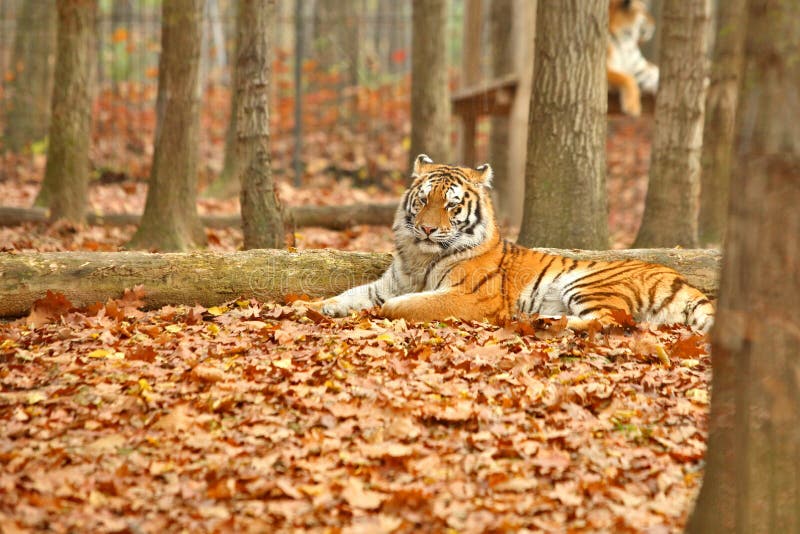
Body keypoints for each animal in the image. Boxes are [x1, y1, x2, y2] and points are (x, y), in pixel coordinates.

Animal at [311, 155, 714, 333]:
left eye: (451, 205)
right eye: (423, 200)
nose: (426, 229)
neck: (419, 257)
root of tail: (680, 279)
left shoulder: (472, 297)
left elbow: (411, 304)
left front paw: (385, 311)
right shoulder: (389, 283)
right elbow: (350, 294)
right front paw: (317, 306)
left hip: (588, 284)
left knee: (611, 319)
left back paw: (548, 322)